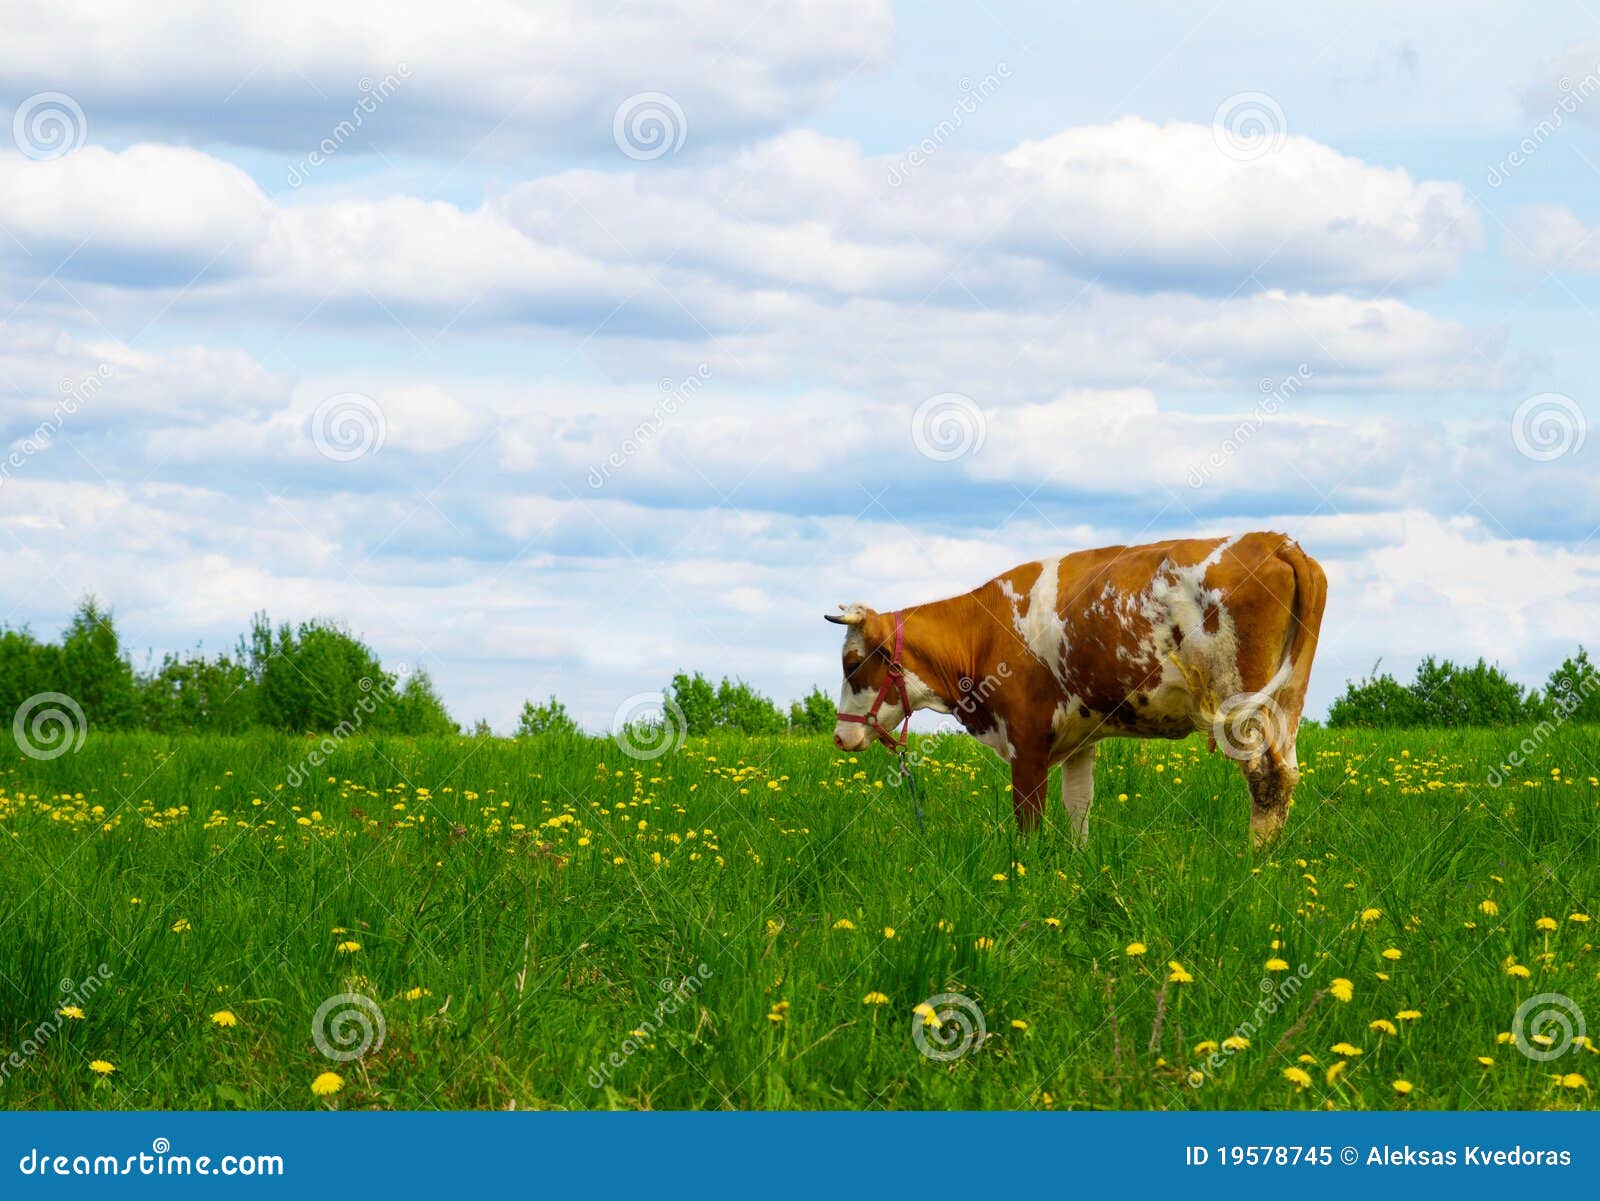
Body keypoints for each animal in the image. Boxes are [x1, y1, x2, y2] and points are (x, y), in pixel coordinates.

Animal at [828, 532, 1327, 848]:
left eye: (852, 663)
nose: (840, 735)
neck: (981, 633)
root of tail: (1273, 540)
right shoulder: (1079, 737)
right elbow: (1078, 806)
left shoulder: (1025, 737)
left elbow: (1029, 817)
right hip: (1287, 700)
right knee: (1287, 773)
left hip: (1241, 702)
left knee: (1265, 776)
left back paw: (1253, 864)